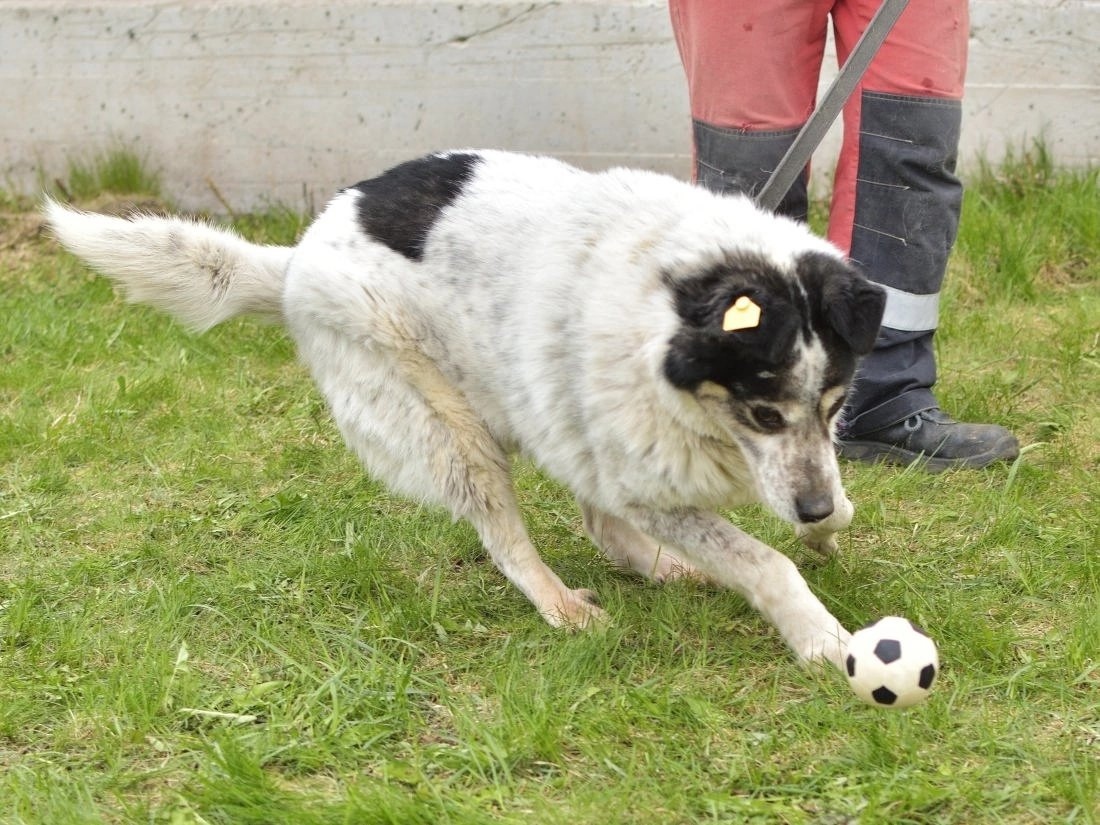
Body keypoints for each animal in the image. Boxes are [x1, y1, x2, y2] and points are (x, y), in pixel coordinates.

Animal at [45, 150, 884, 673]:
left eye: (835, 403)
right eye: (764, 414)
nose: (810, 508)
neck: (672, 299)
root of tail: (294, 260)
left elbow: (816, 509)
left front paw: (828, 526)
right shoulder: (651, 482)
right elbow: (767, 562)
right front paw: (820, 635)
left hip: (542, 398)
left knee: (598, 516)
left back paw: (665, 567)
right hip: (451, 431)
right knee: (508, 536)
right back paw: (560, 604)